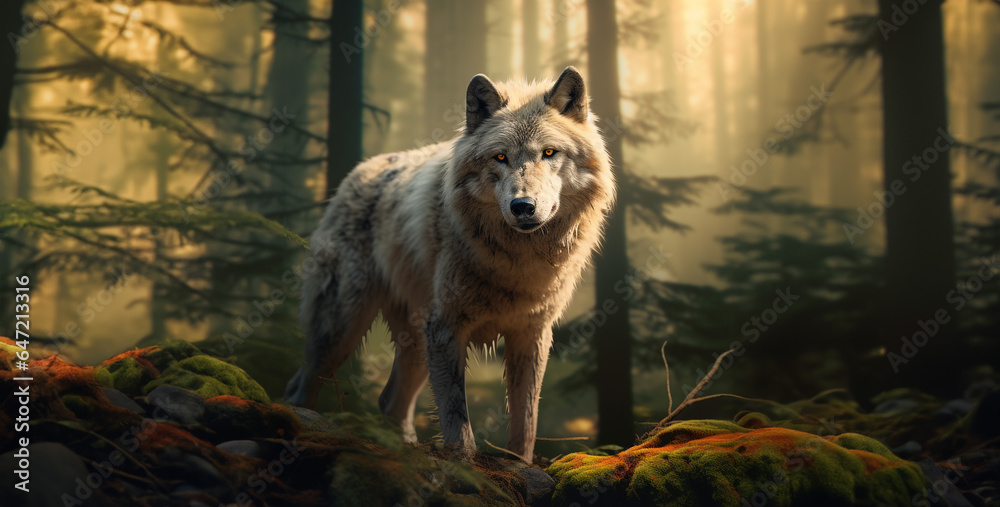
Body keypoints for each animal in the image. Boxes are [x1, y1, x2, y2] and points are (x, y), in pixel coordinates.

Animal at [284, 67, 614, 461]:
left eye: (549, 153)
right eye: (500, 158)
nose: (522, 207)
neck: (515, 262)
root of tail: (354, 176)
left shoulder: (532, 333)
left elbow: (526, 421)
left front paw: (519, 463)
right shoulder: (446, 326)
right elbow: (456, 413)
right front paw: (464, 461)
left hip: (413, 343)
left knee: (389, 402)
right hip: (342, 327)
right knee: (300, 387)